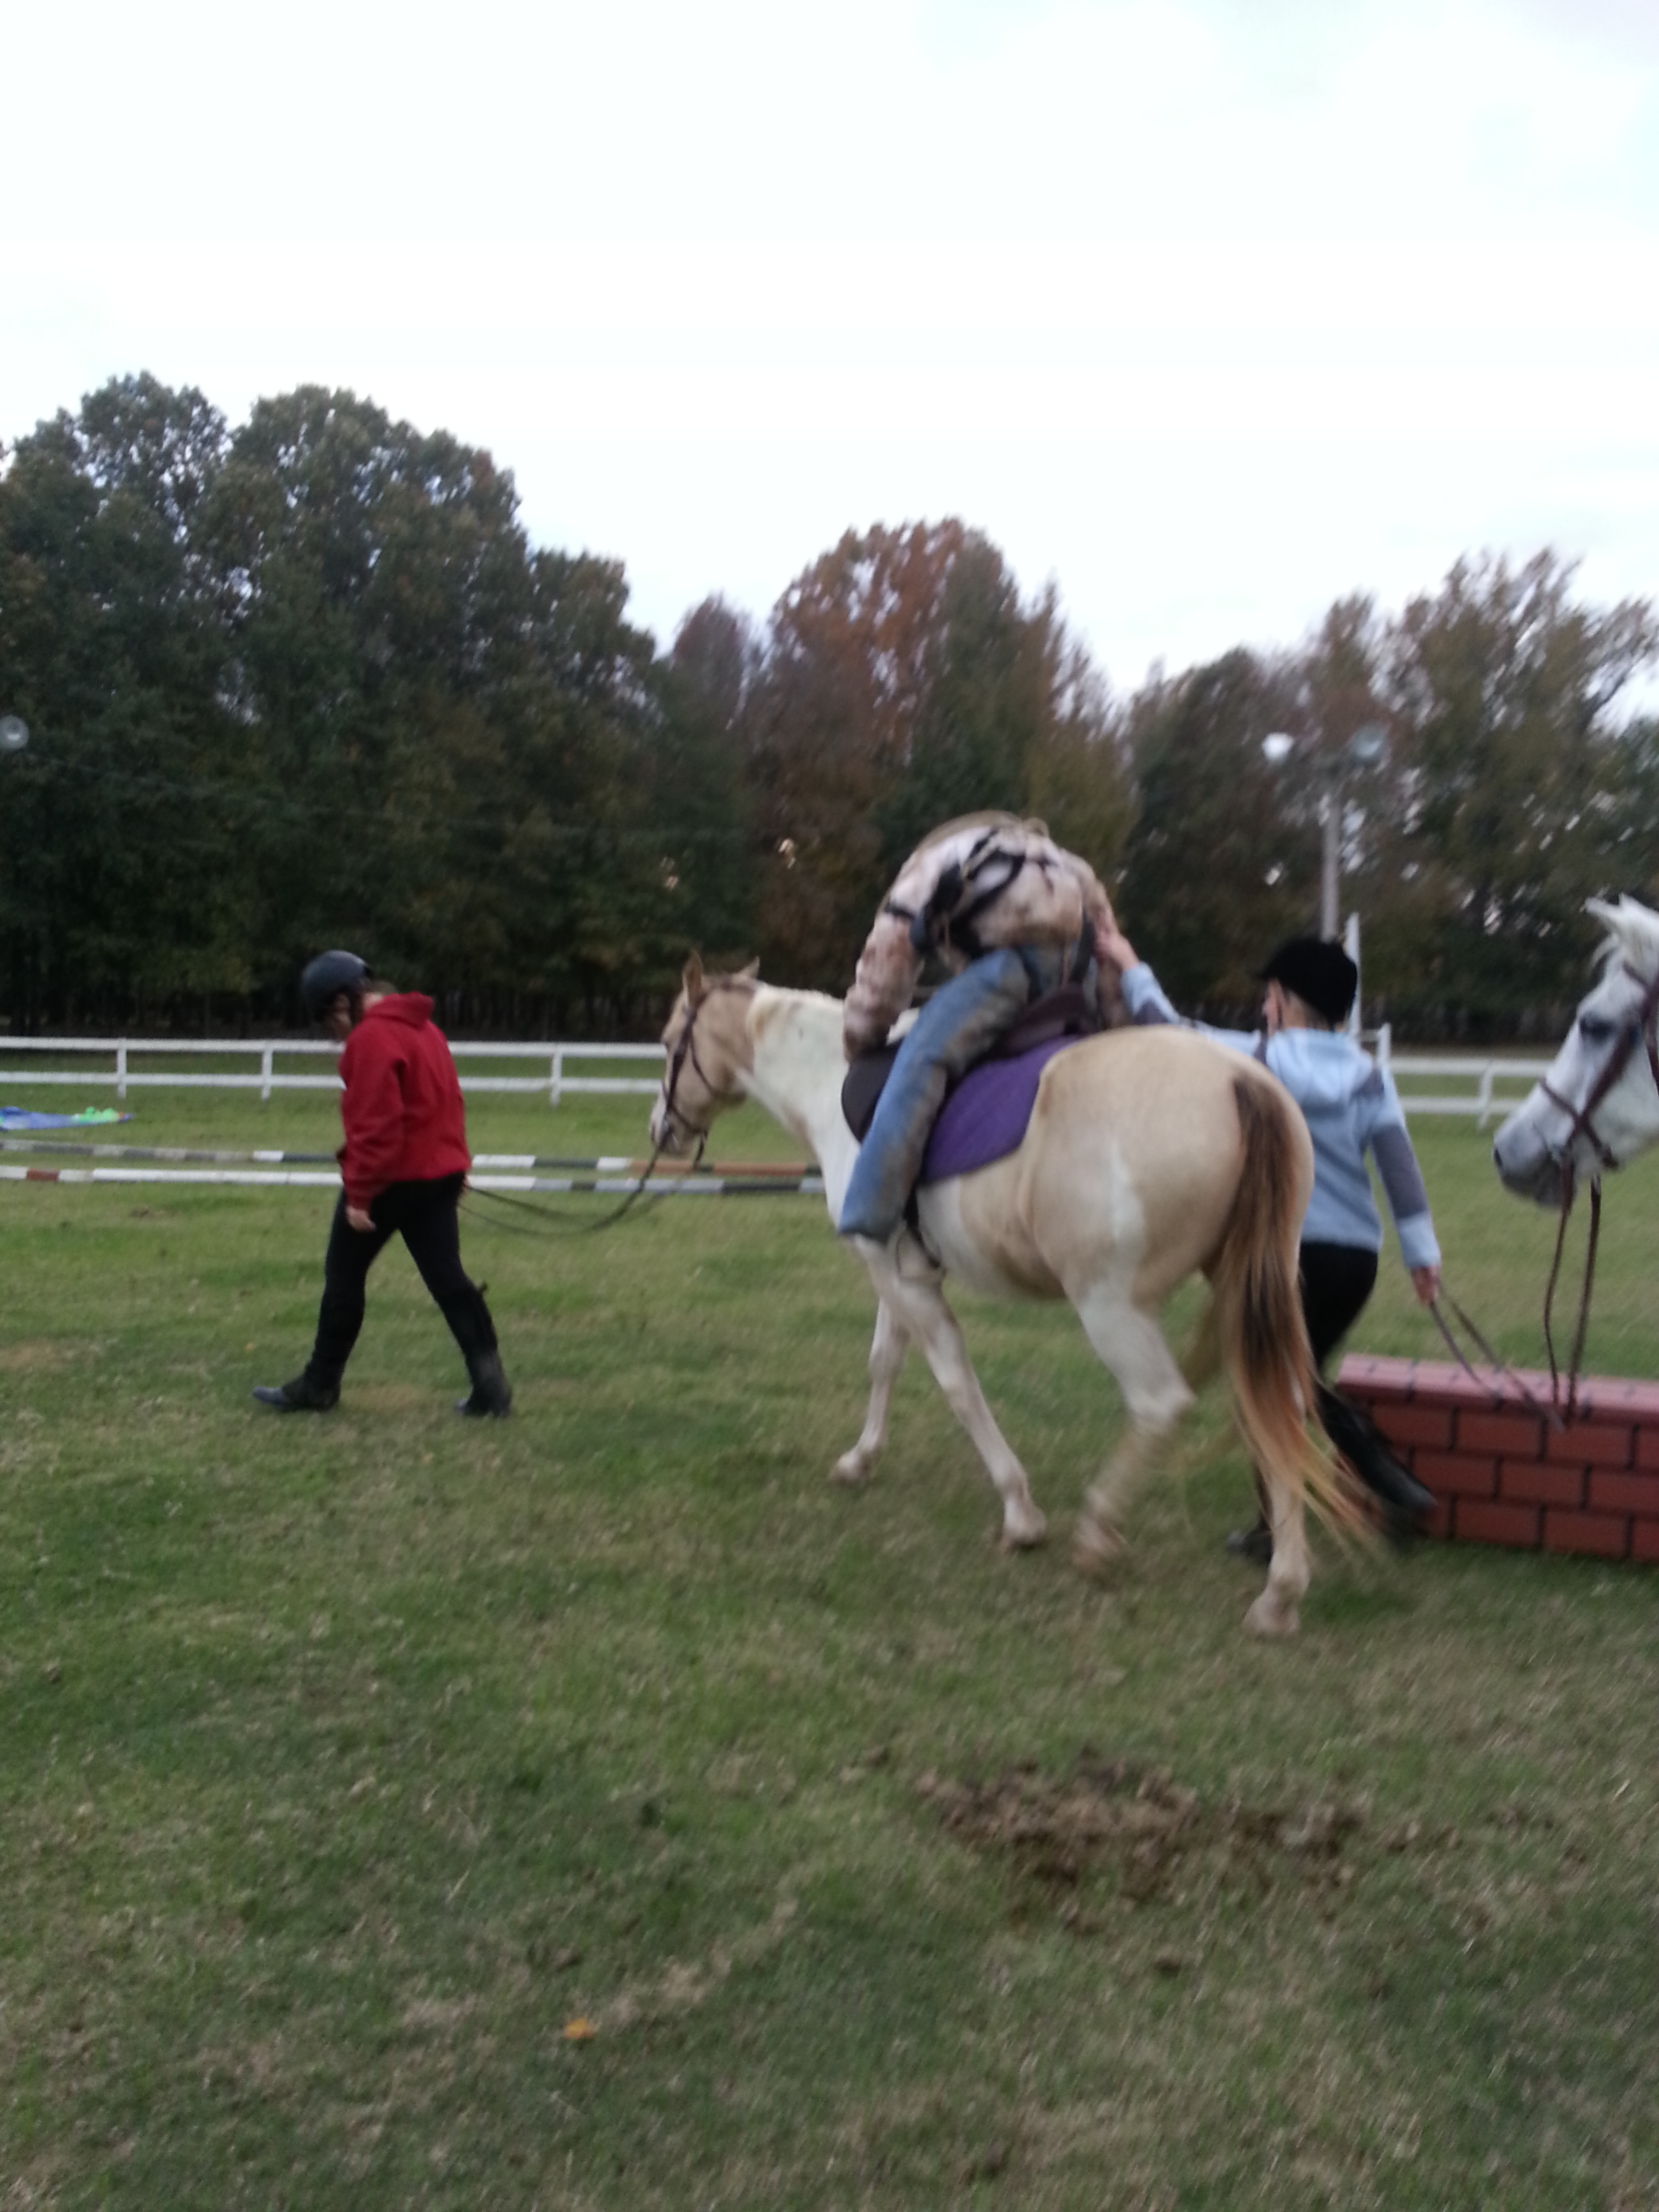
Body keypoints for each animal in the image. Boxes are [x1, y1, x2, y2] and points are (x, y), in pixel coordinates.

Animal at [649, 956, 1356, 1637]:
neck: (830, 1081)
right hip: (1243, 1292)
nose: (662, 1130)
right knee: (1277, 1409)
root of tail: (1240, 1082)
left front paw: (1020, 1512)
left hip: (1111, 1307)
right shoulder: (897, 1270)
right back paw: (1279, 1595)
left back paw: (1098, 1532)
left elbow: (957, 1385)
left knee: (1162, 1405)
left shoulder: (901, 1279)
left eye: (668, 1041)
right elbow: (886, 1362)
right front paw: (861, 1460)